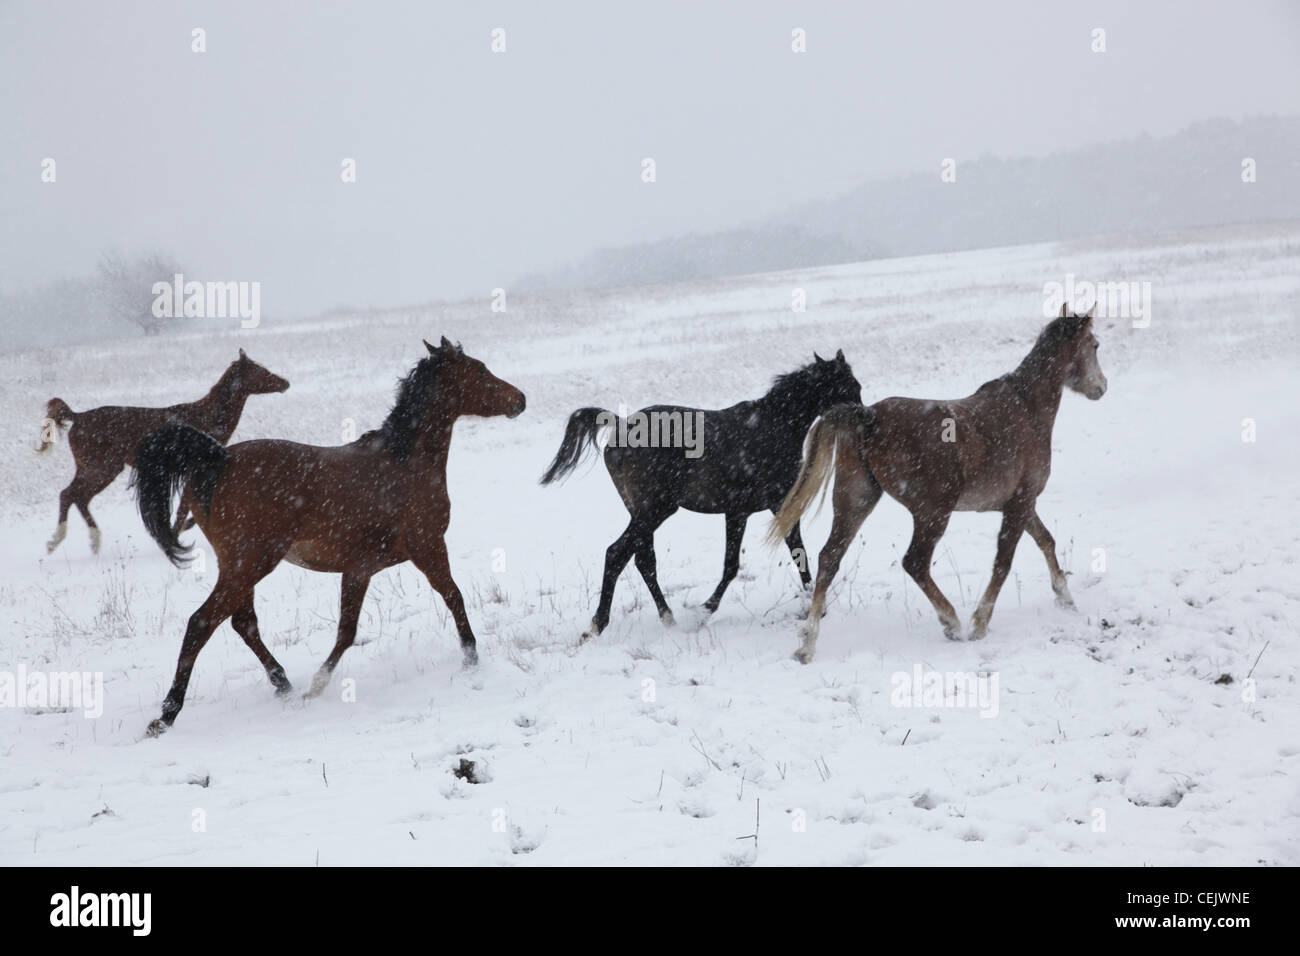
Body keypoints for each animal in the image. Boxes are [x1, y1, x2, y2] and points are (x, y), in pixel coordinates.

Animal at [37, 349, 289, 555]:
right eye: (260, 370)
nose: (285, 382)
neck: (208, 421)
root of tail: (76, 418)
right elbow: (184, 508)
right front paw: (174, 539)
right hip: (101, 466)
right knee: (71, 494)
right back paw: (62, 542)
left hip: (96, 467)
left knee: (77, 496)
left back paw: (88, 543)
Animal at [131, 338, 525, 735]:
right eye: (479, 369)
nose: (519, 399)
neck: (405, 464)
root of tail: (219, 458)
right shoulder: (427, 547)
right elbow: (453, 596)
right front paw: (471, 657)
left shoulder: (360, 569)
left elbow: (347, 631)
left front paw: (314, 687)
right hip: (250, 564)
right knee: (202, 623)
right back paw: (166, 714)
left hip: (239, 566)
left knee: (243, 623)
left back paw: (284, 685)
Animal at [540, 351, 862, 639]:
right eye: (849, 388)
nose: (862, 425)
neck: (773, 427)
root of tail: (620, 426)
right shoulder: (764, 506)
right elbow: (752, 561)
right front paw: (704, 611)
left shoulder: (745, 511)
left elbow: (781, 555)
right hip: (654, 511)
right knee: (617, 553)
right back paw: (597, 625)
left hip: (643, 513)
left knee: (643, 560)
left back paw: (668, 619)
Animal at [768, 305, 1107, 663]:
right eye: (1095, 345)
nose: (1102, 386)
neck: (1027, 408)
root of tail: (869, 416)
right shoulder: (1020, 503)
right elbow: (1004, 562)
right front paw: (980, 624)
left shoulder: (1019, 504)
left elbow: (1046, 541)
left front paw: (1065, 598)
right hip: (932, 512)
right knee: (914, 562)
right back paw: (952, 623)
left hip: (855, 501)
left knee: (829, 558)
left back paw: (807, 644)